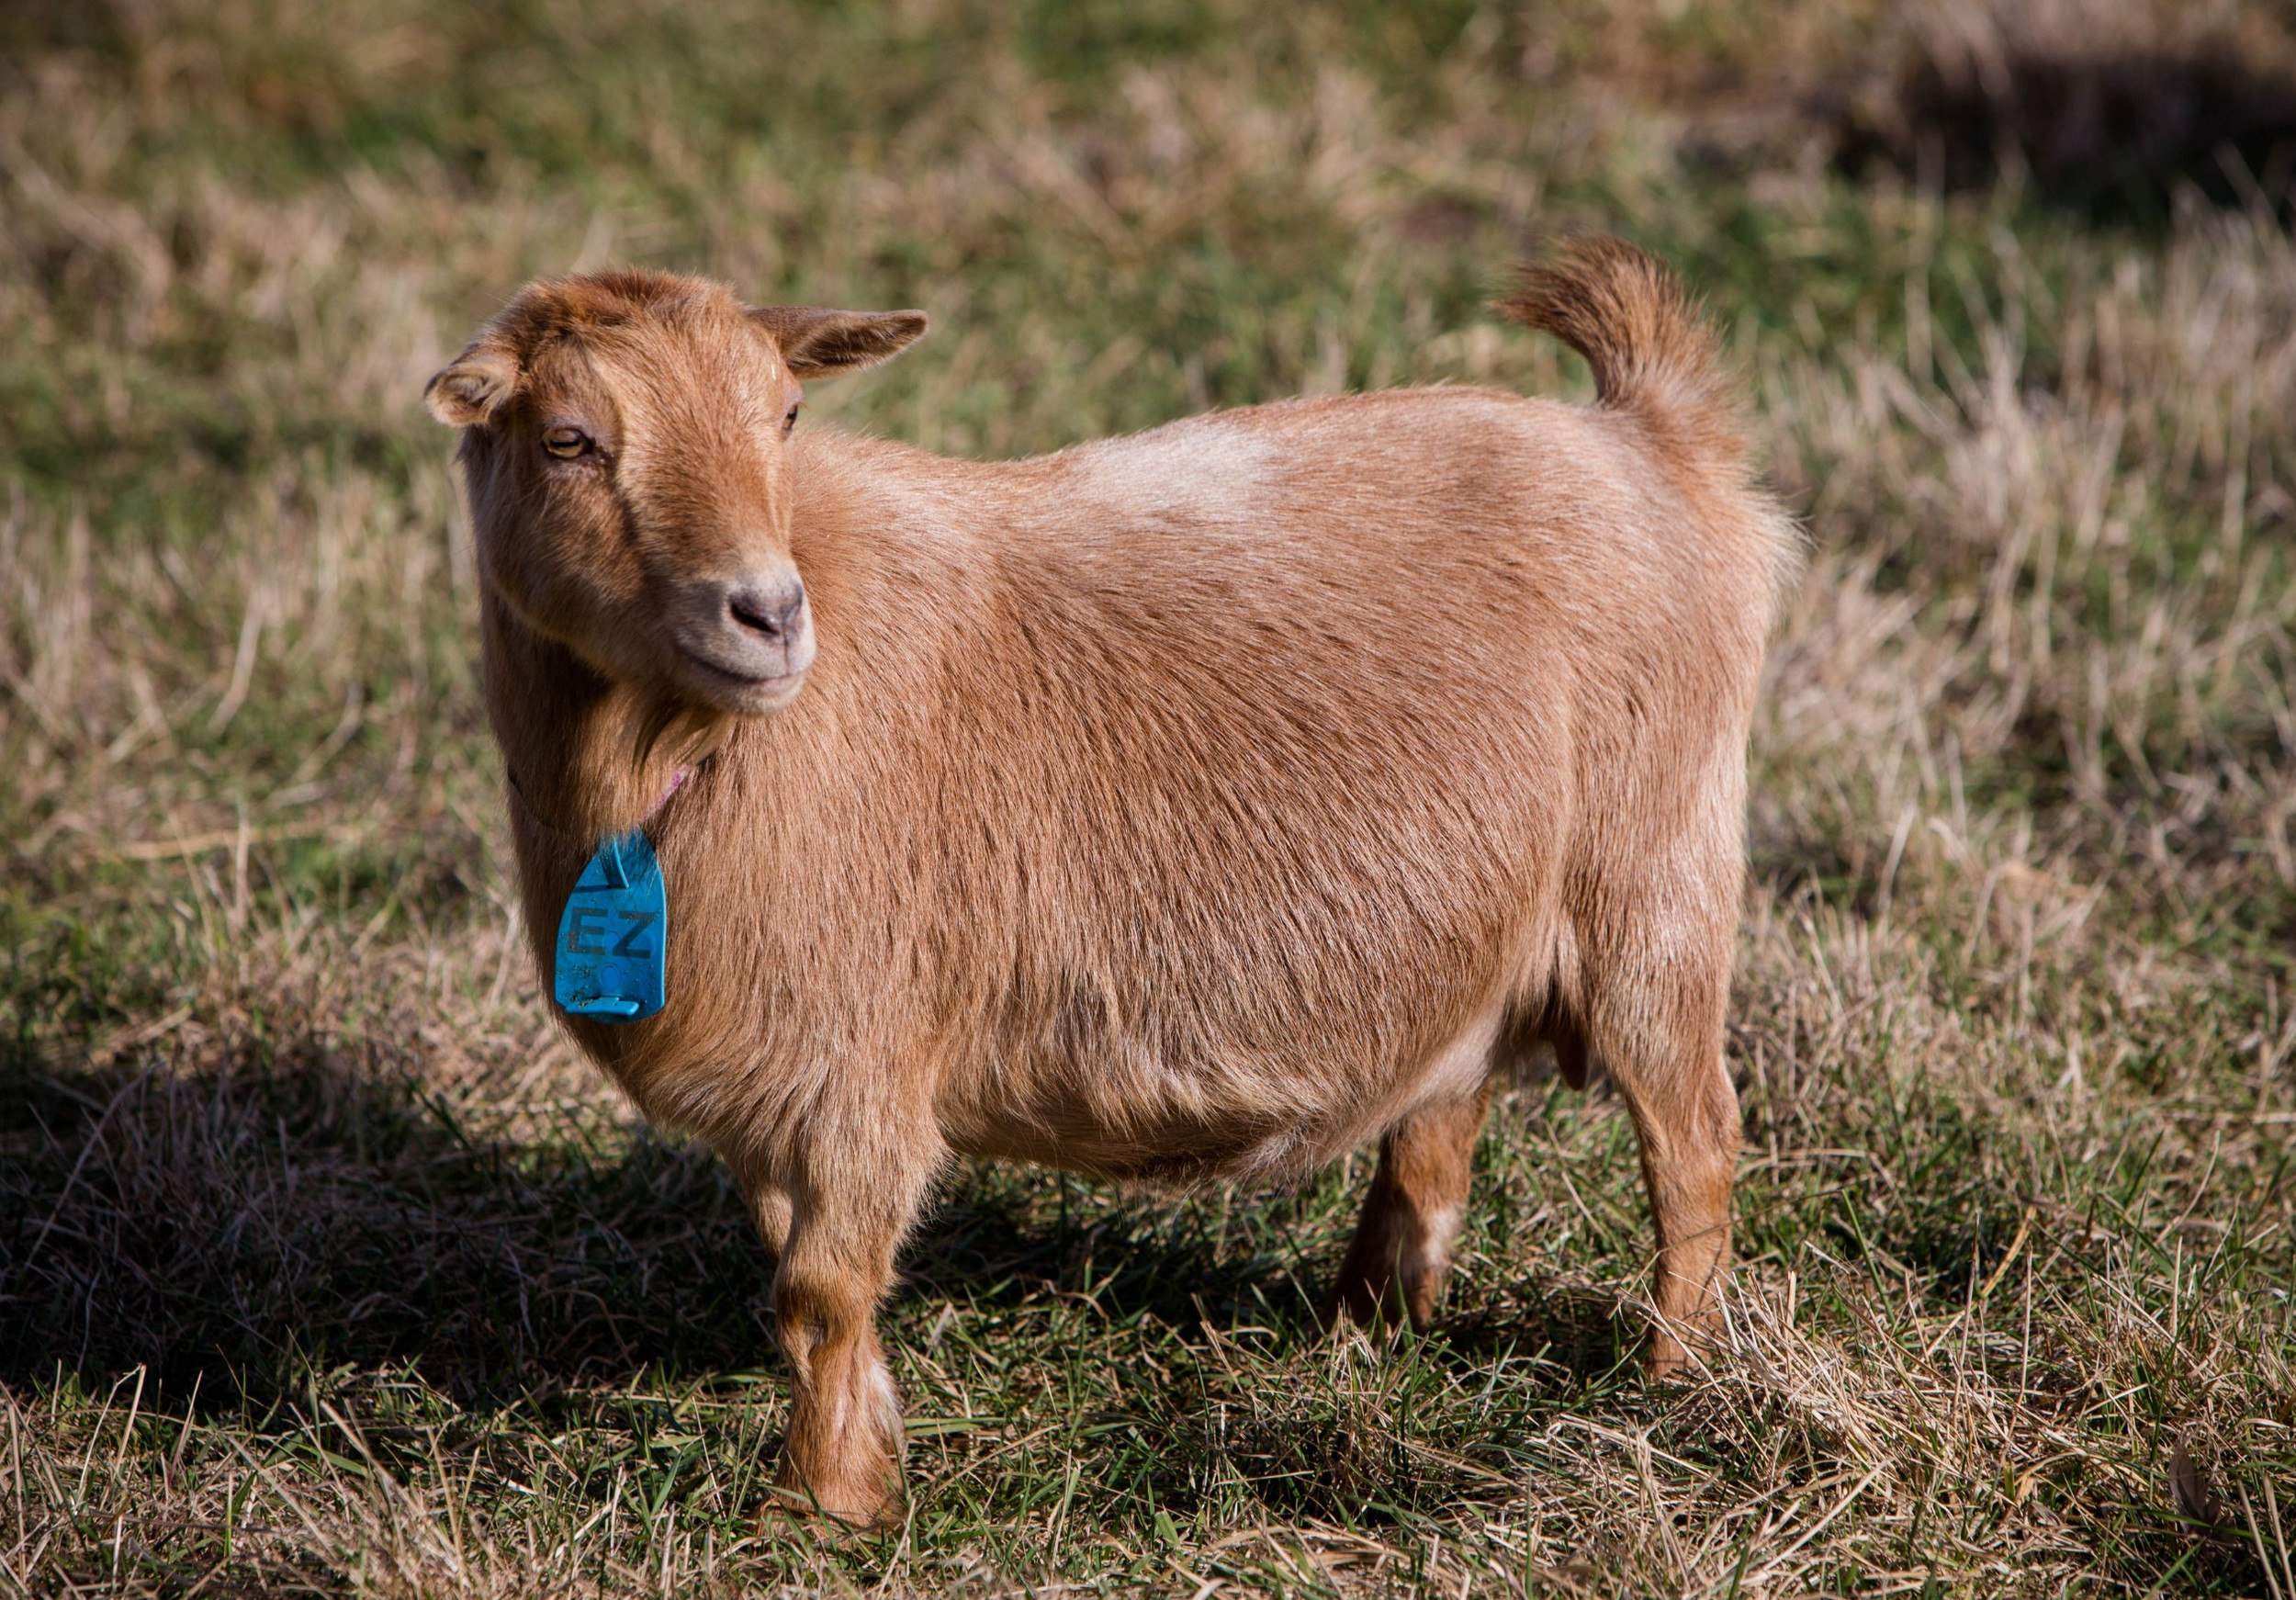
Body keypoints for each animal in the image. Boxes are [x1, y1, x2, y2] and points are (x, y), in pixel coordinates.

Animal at [425, 237, 1796, 1525]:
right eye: (568, 437)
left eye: (787, 415)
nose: (766, 615)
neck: (680, 760)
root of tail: (1644, 435)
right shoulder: (786, 1089)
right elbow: (812, 1291)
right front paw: (866, 1457)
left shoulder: (865, 1062)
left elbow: (820, 1290)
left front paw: (820, 1509)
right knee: (1437, 1126)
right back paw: (1369, 1329)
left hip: (1655, 889)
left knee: (1693, 1142)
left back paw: (1669, 1378)